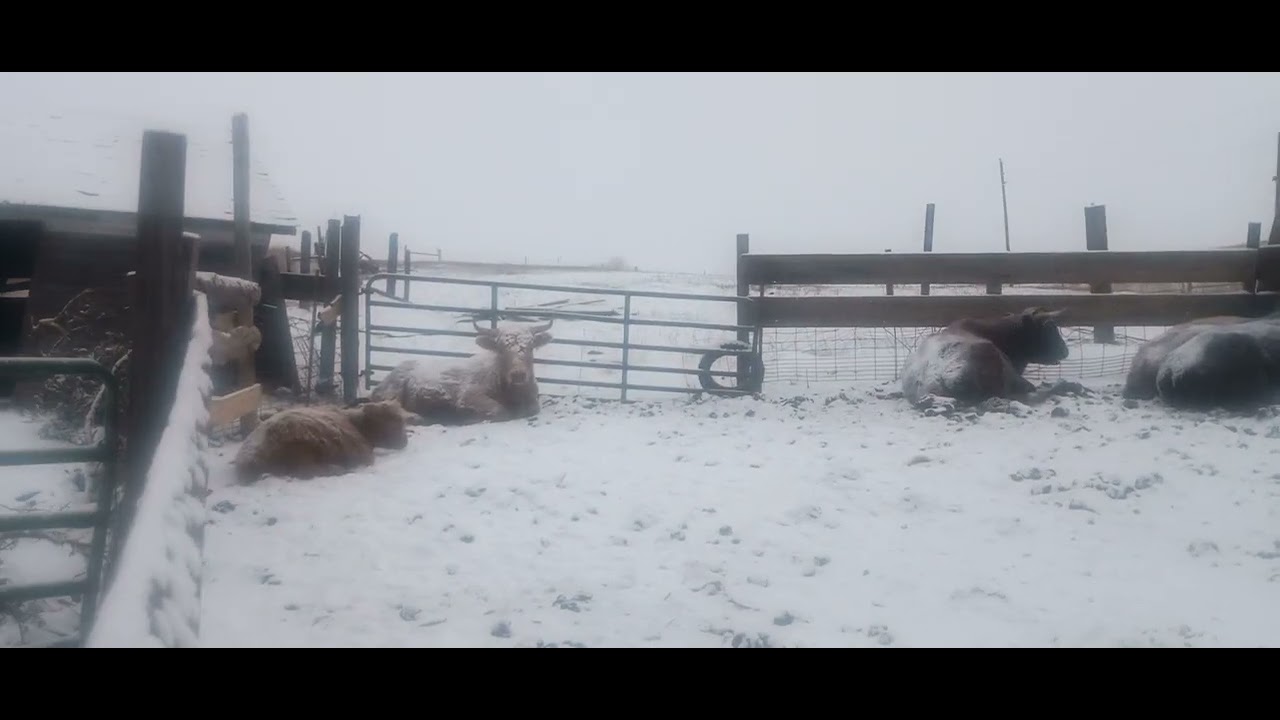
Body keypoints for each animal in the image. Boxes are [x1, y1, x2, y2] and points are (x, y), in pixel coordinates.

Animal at [232, 399, 412, 483]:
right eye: (392, 420)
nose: (405, 441)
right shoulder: (362, 454)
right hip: (300, 446)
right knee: (305, 471)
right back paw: (337, 469)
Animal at [370, 319, 554, 425]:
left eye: (530, 346)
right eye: (500, 348)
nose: (518, 375)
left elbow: (533, 408)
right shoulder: (469, 396)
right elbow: (499, 411)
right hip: (394, 390)